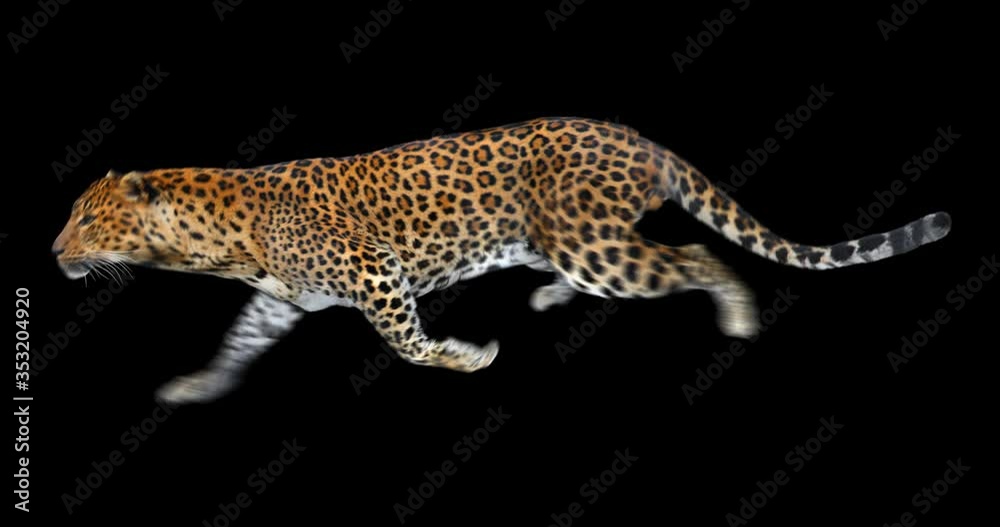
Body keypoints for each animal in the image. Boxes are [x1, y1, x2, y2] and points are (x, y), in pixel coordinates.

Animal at [52, 117, 952, 404]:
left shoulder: (375, 271)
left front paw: (468, 356)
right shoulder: (281, 299)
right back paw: (552, 297)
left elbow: (407, 343)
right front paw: (199, 385)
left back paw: (736, 312)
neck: (216, 245)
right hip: (578, 243)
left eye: (88, 219)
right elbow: (237, 341)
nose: (53, 250)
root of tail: (639, 138)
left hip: (594, 242)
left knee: (694, 254)